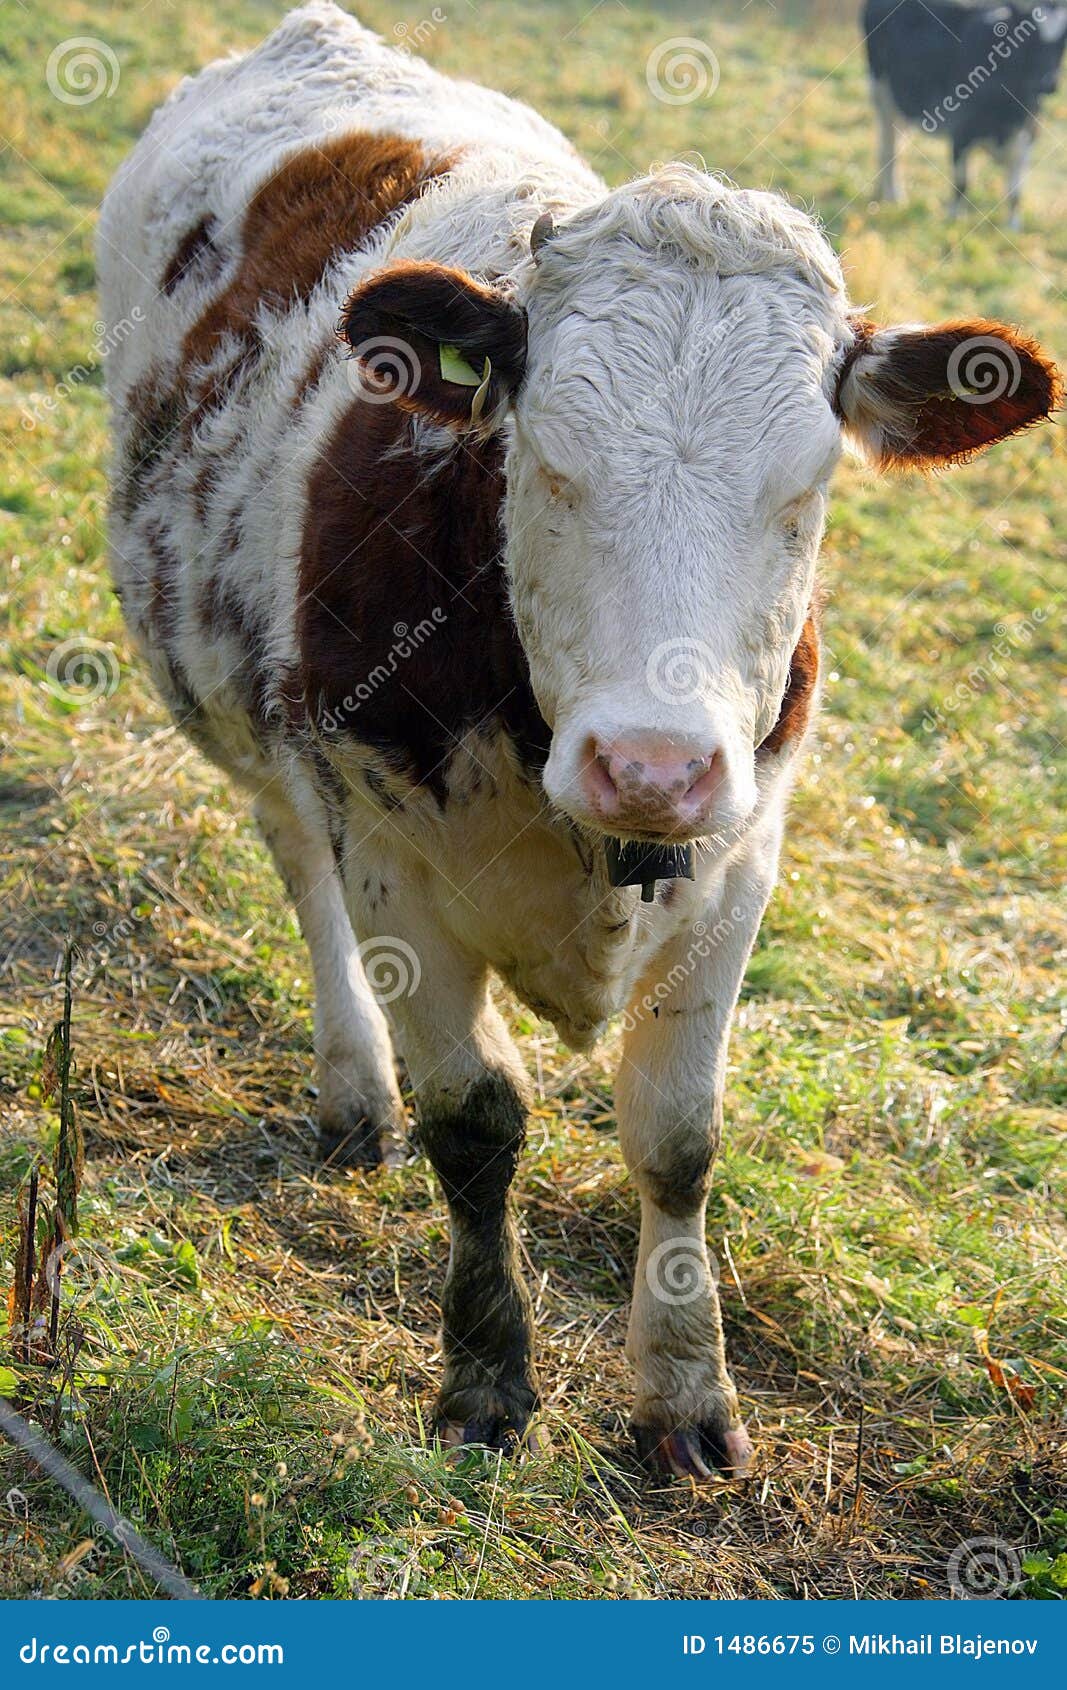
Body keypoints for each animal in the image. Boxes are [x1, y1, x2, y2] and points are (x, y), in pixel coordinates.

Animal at [863, 0, 1067, 226]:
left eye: (1062, 44)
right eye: (1032, 40)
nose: (1048, 83)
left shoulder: (1027, 136)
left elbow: (1015, 192)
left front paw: (1013, 226)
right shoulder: (960, 132)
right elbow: (961, 183)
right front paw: (953, 219)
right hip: (881, 95)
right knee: (888, 147)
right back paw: (892, 196)